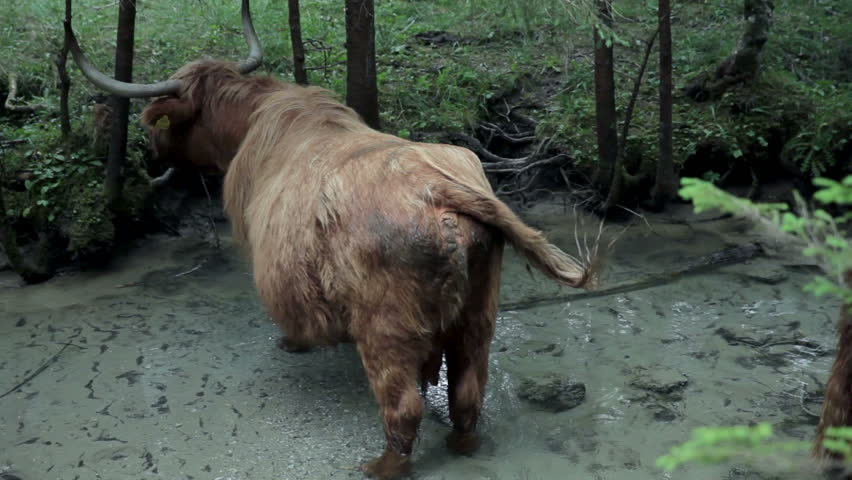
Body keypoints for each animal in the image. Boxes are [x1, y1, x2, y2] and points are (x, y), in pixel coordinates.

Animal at [66, 1, 597, 477]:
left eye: (164, 125)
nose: (151, 155)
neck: (252, 122)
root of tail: (437, 186)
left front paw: (292, 342)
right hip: (479, 312)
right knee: (467, 392)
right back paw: (461, 445)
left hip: (386, 324)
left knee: (404, 405)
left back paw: (381, 467)